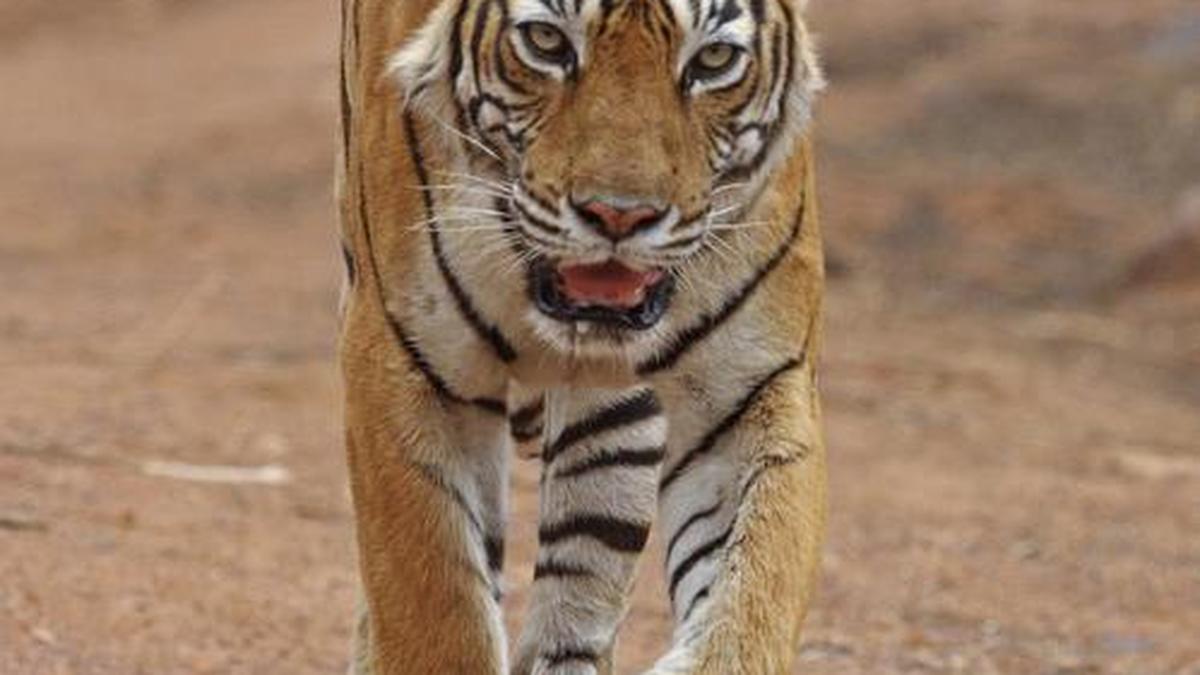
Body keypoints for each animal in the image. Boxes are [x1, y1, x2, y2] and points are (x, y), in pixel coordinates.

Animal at [337, 0, 826, 671]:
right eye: (546, 41)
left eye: (714, 59)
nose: (620, 216)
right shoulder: (408, 362)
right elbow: (436, 610)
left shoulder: (751, 391)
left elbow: (752, 594)